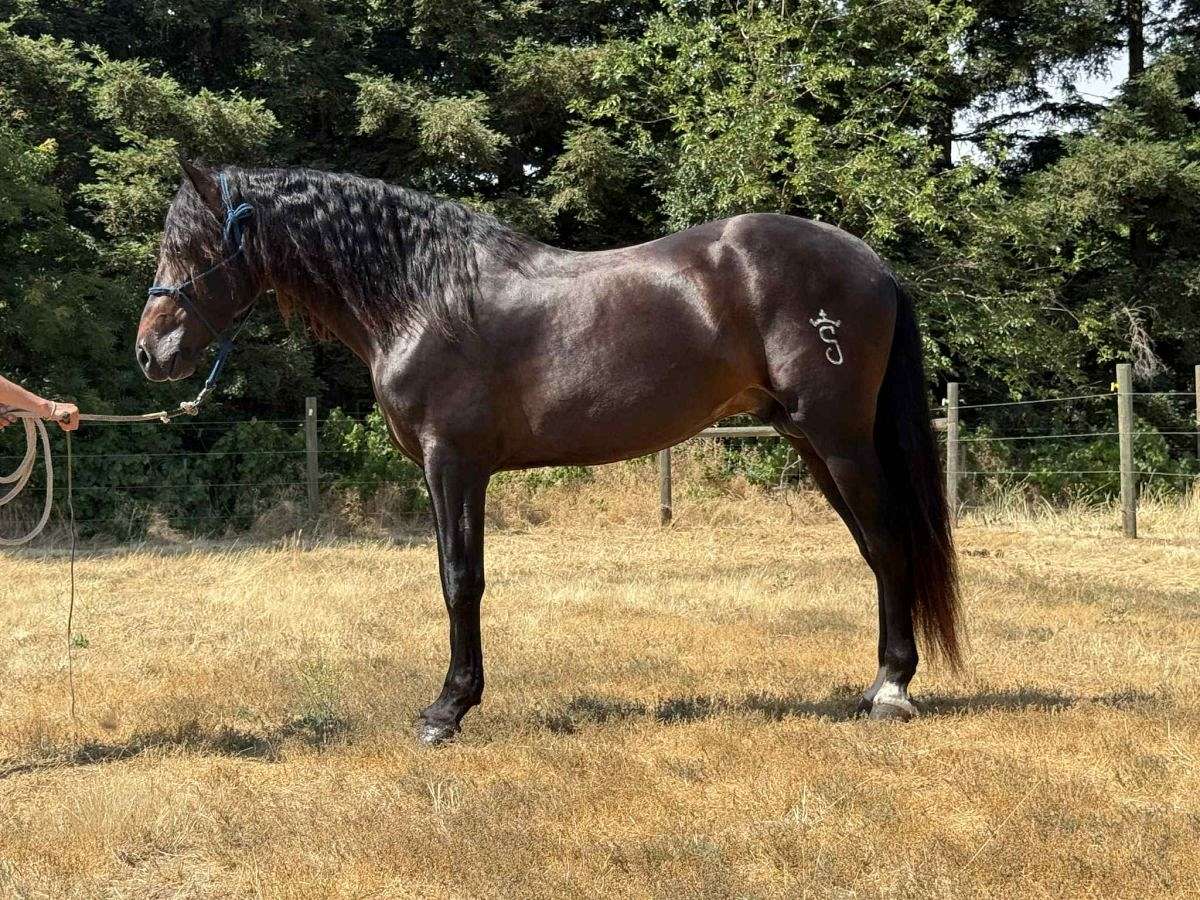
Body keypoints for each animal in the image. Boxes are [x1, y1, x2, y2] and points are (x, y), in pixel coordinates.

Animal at [136, 159, 962, 744]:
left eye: (192, 246)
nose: (151, 352)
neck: (423, 295)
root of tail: (871, 263)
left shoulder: (453, 463)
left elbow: (459, 580)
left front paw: (447, 710)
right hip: (808, 440)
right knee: (875, 551)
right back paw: (878, 684)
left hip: (839, 439)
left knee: (890, 545)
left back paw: (892, 691)